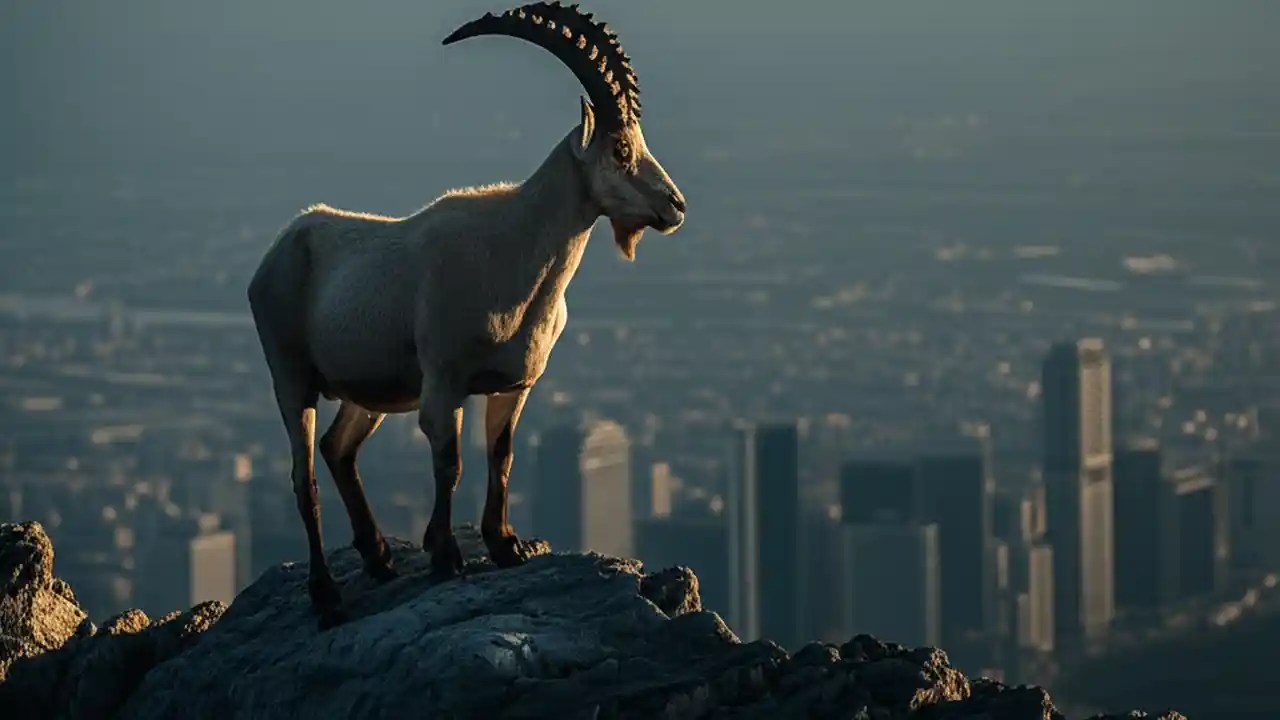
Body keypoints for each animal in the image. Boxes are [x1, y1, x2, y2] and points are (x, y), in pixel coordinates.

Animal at [247, 2, 686, 627]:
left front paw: (506, 545)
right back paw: (327, 594)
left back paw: (378, 557)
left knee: (338, 448)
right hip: (290, 376)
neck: (513, 255)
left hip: (368, 390)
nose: (675, 205)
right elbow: (449, 460)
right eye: (620, 151)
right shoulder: (443, 383)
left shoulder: (513, 386)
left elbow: (501, 455)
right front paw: (446, 555)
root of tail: (281, 247)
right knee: (301, 476)